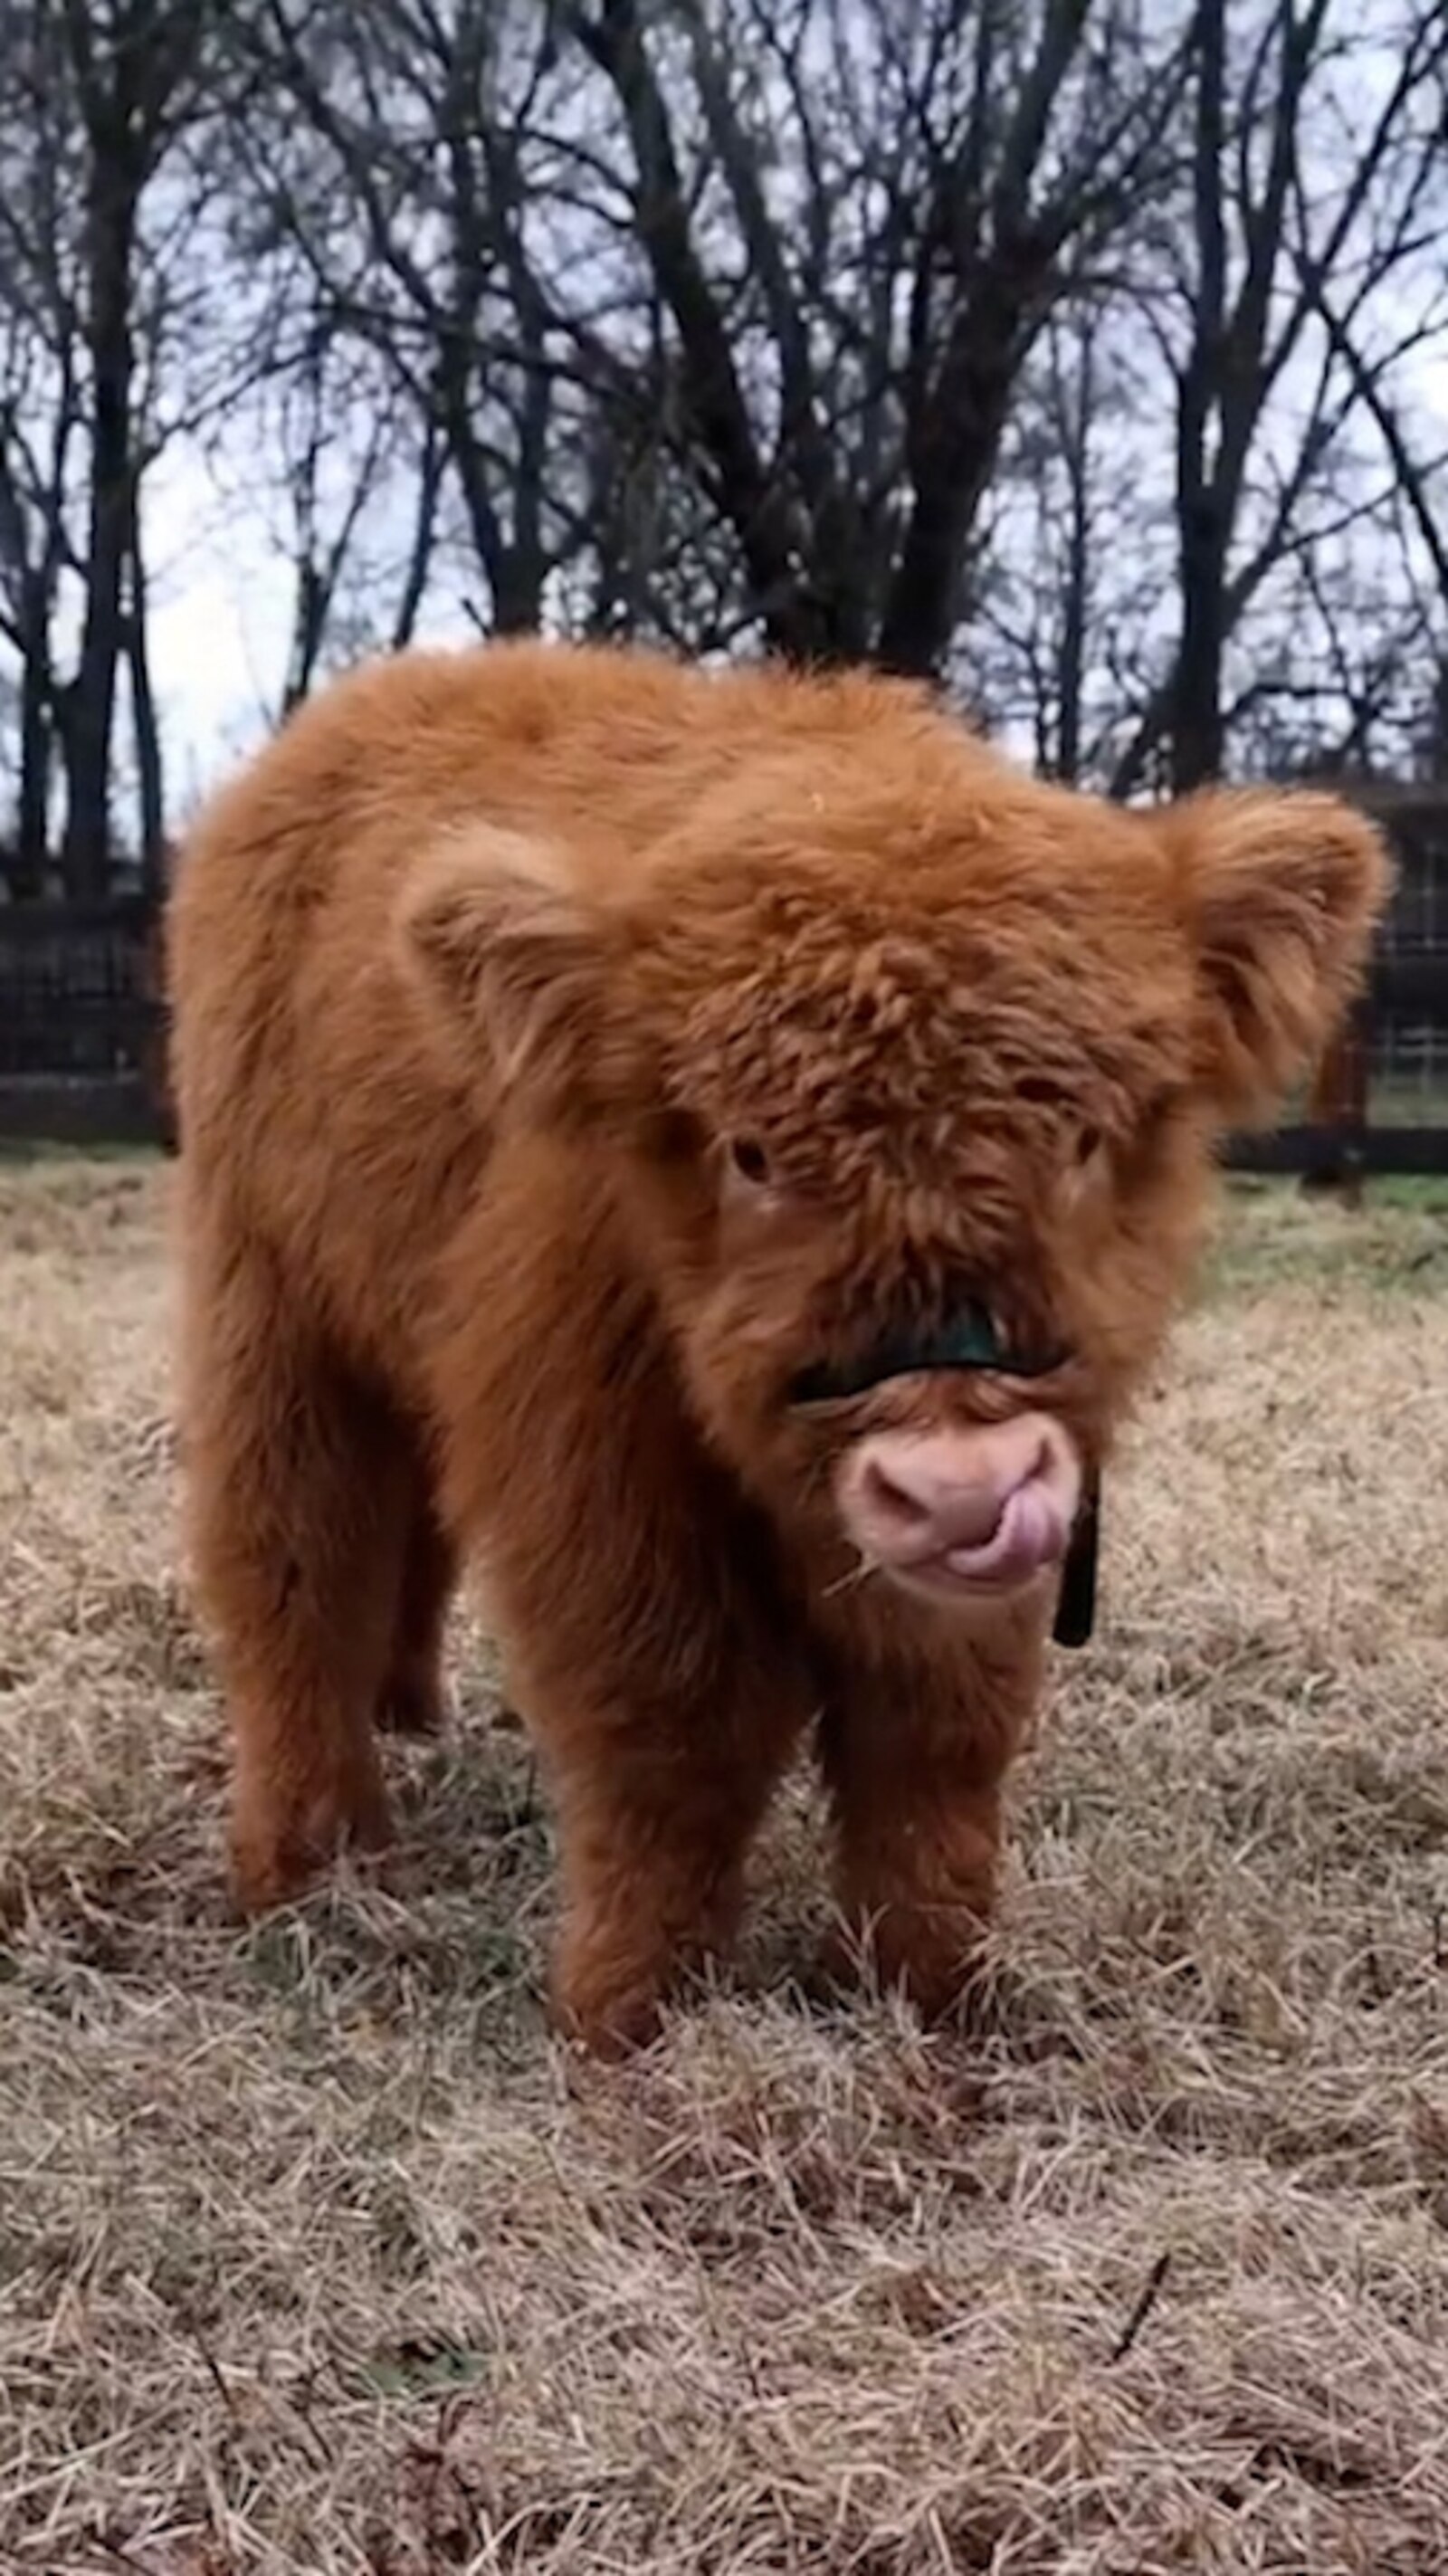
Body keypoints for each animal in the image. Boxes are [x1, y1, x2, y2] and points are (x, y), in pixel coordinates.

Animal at [165, 640, 1389, 2053]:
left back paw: (408, 1714)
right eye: (747, 1151)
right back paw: (309, 1858)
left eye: (1087, 1135)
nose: (957, 1484)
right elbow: (673, 1722)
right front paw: (633, 2013)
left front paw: (934, 1996)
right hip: (272, 1301)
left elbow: (935, 1744)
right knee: (296, 1559)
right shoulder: (591, 1454)